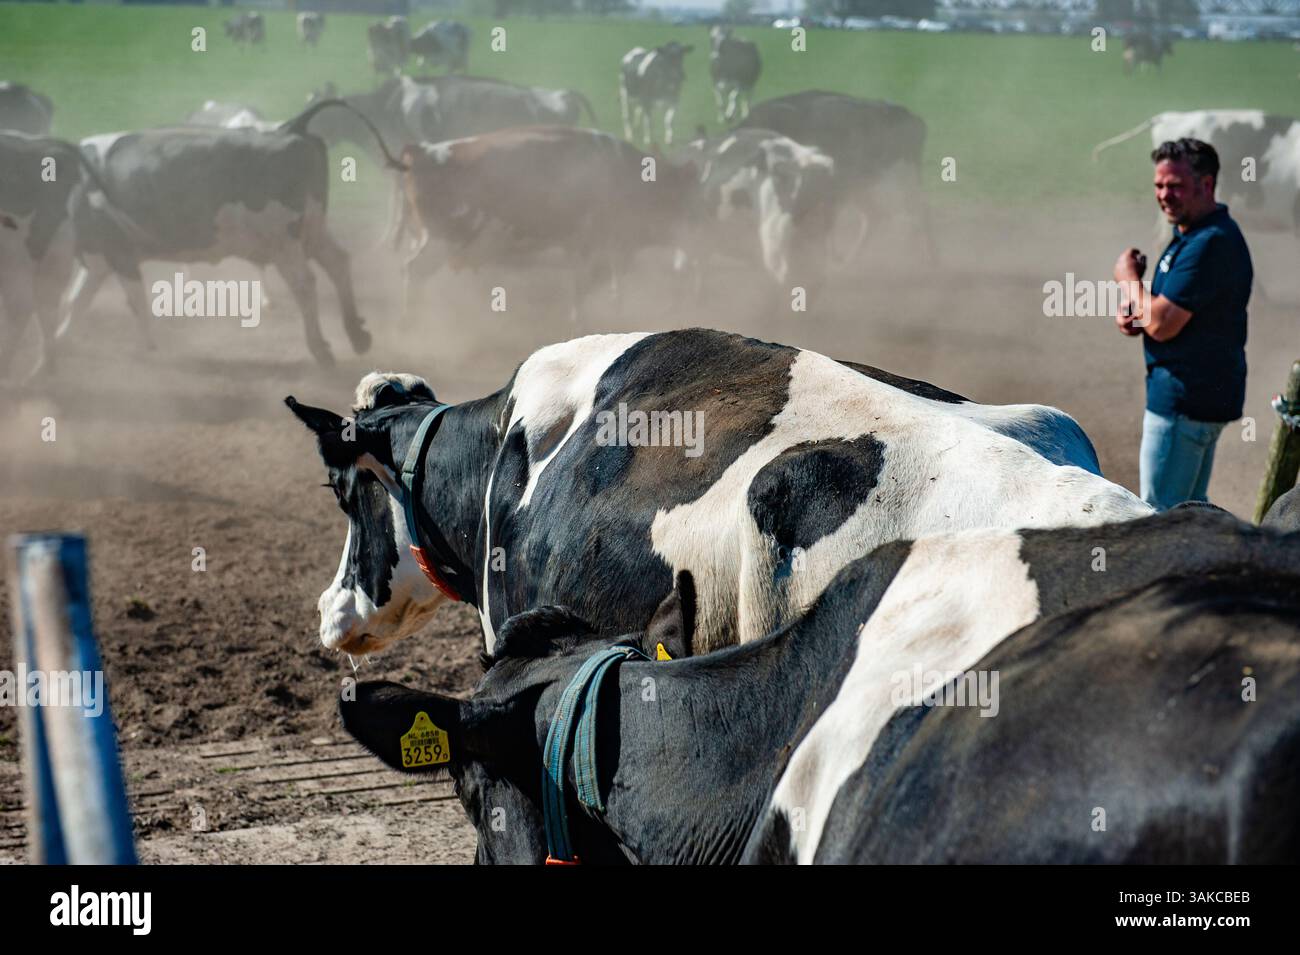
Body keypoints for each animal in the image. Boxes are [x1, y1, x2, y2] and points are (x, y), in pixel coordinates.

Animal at [60, 100, 403, 366]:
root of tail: (289, 128)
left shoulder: (112, 251)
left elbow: (130, 302)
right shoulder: (101, 255)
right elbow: (77, 303)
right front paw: (57, 347)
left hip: (284, 239)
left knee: (305, 284)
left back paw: (320, 347)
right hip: (313, 227)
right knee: (337, 262)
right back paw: (357, 333)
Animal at [398, 126, 698, 322]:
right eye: (684, 198)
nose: (697, 239)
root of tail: (422, 150)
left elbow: (607, 288)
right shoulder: (591, 245)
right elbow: (585, 290)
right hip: (439, 241)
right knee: (413, 272)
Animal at [739, 91, 936, 264]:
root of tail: (913, 119)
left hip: (901, 179)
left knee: (919, 209)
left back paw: (931, 258)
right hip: (863, 188)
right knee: (876, 215)